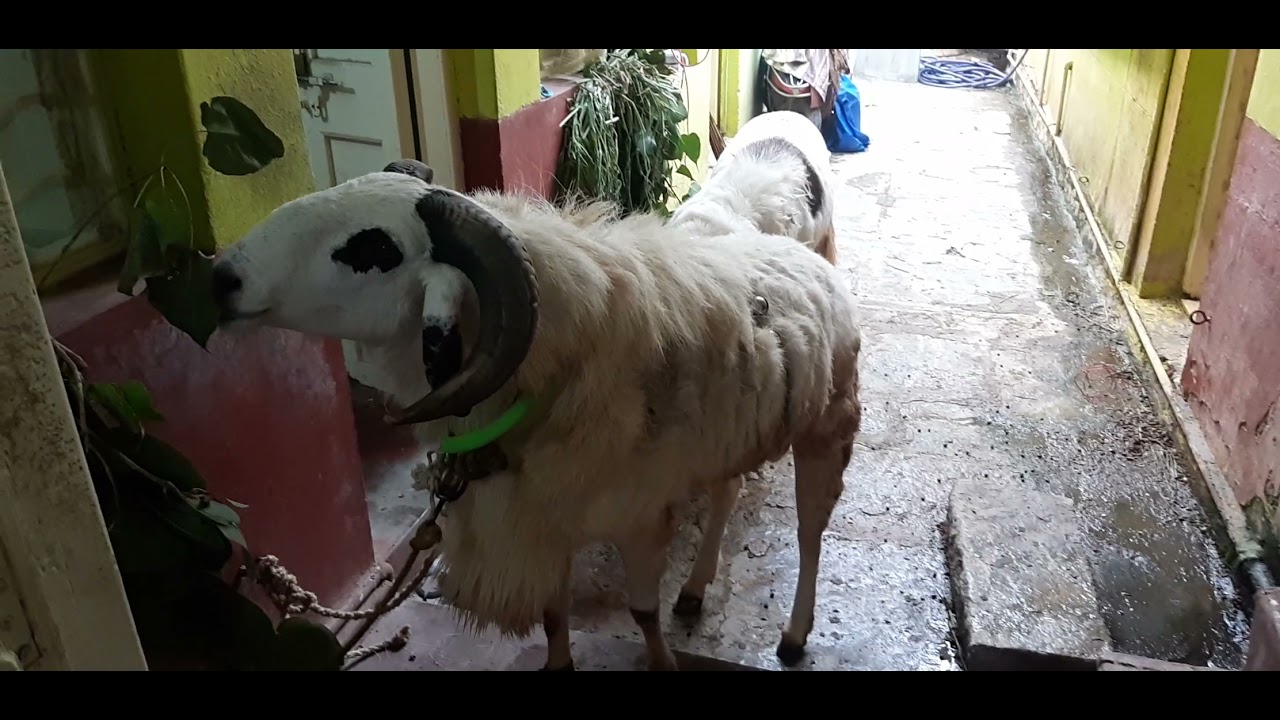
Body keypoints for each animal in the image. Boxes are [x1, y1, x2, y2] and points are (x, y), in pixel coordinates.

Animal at [210, 158, 863, 671]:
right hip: (736, 437)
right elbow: (552, 617)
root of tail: (808, 257)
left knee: (810, 536)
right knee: (727, 494)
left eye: (374, 249)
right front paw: (558, 661)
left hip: (828, 429)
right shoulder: (544, 524)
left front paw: (661, 659)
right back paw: (697, 589)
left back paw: (793, 635)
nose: (221, 275)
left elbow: (643, 613)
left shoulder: (637, 519)